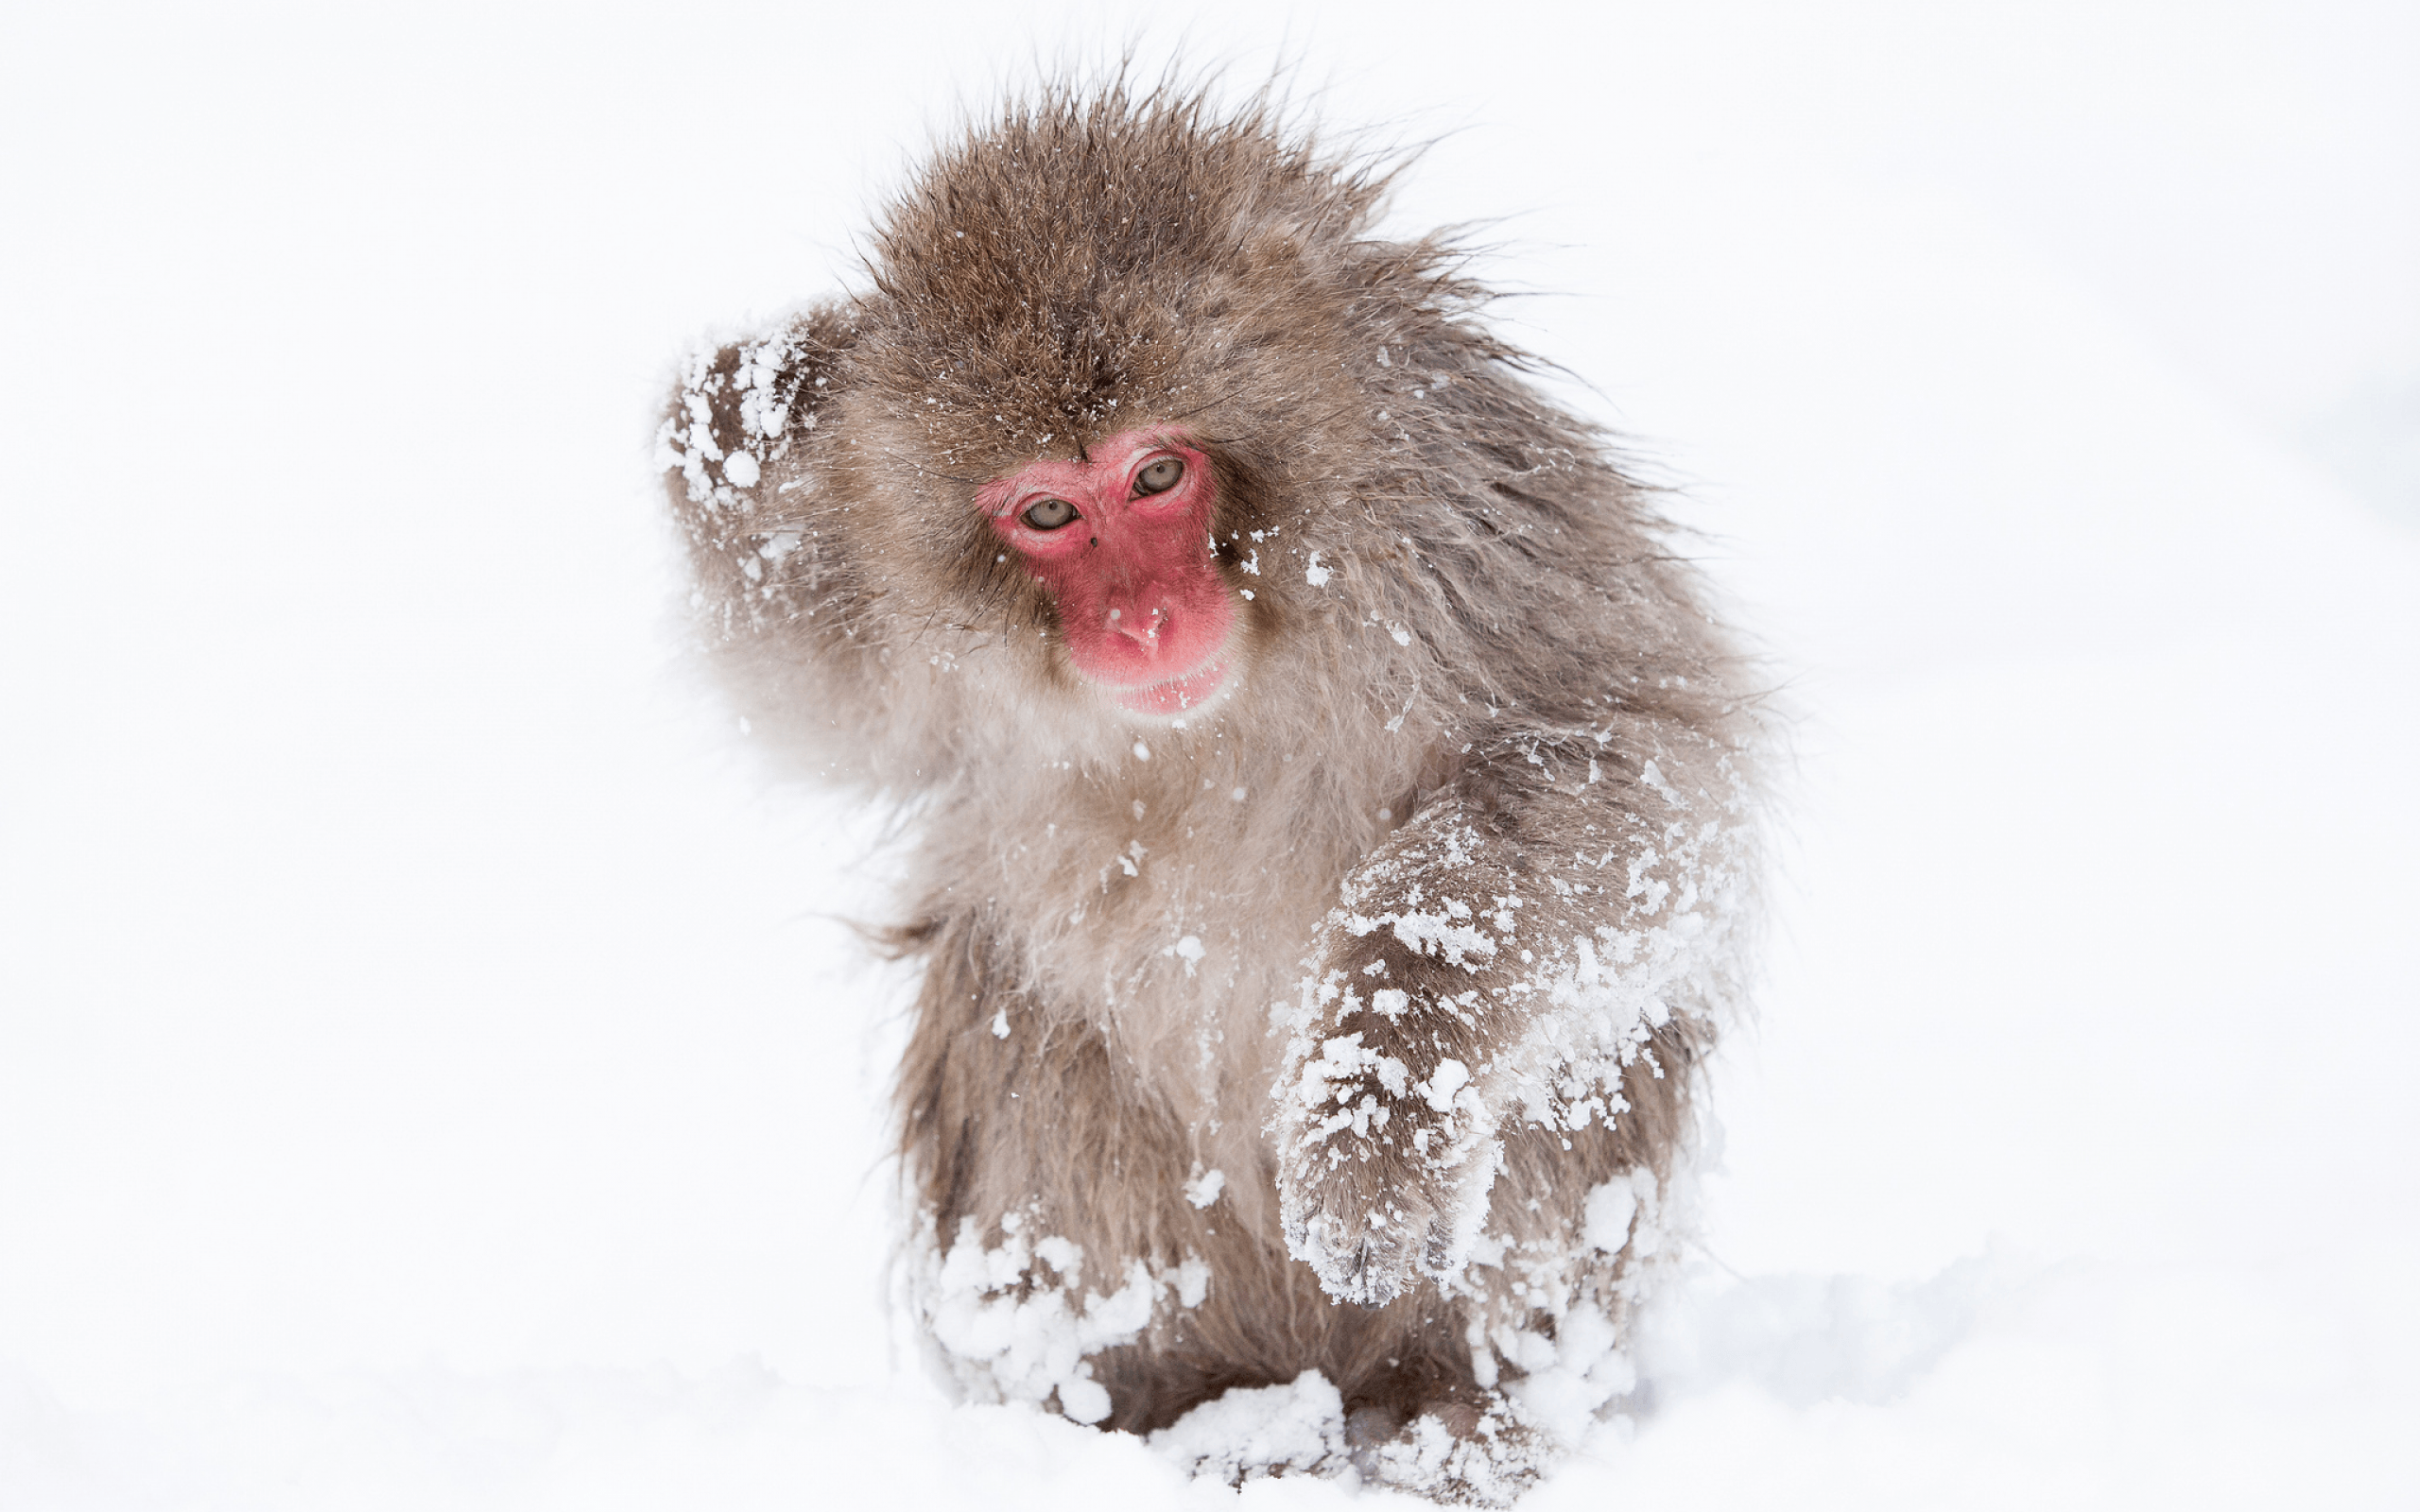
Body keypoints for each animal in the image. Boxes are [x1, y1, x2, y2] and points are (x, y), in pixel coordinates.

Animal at [658, 79, 1762, 1504]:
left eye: (1156, 475)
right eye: (1047, 514)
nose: (1142, 619)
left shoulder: (1462, 523)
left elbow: (1637, 771)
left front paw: (1378, 1096)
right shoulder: (894, 626)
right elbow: (808, 705)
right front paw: (735, 417)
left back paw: (1469, 1414)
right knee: (1030, 1033)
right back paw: (1174, 1419)